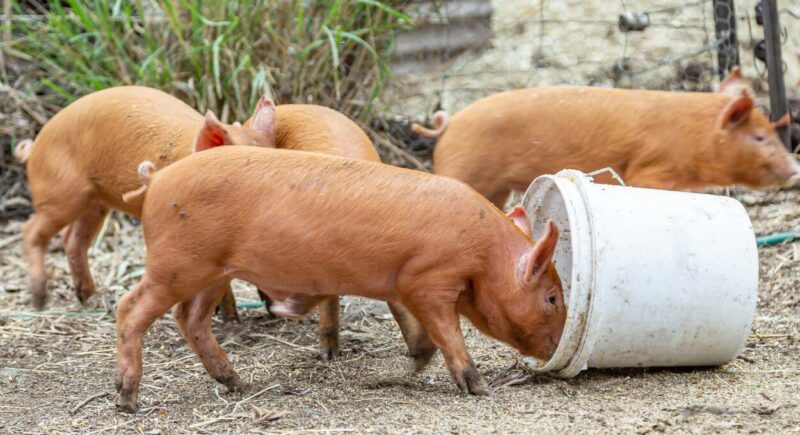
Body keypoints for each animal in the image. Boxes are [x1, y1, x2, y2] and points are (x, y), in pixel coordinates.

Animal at [19, 86, 276, 310]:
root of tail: (38, 140)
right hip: (61, 194)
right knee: (32, 230)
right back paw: (40, 300)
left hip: (97, 201)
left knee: (73, 238)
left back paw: (86, 296)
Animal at [114, 146, 566, 412]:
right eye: (552, 298)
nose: (555, 347)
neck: (483, 256)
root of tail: (157, 180)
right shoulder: (429, 279)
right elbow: (447, 332)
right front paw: (481, 388)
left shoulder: (402, 280)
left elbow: (416, 326)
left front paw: (416, 364)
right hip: (177, 264)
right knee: (129, 308)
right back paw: (127, 401)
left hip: (212, 271)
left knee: (189, 319)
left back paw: (236, 383)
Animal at [413, 68, 800, 208]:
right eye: (760, 138)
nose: (795, 169)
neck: (694, 136)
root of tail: (450, 123)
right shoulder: (651, 169)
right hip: (463, 169)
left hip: (495, 187)